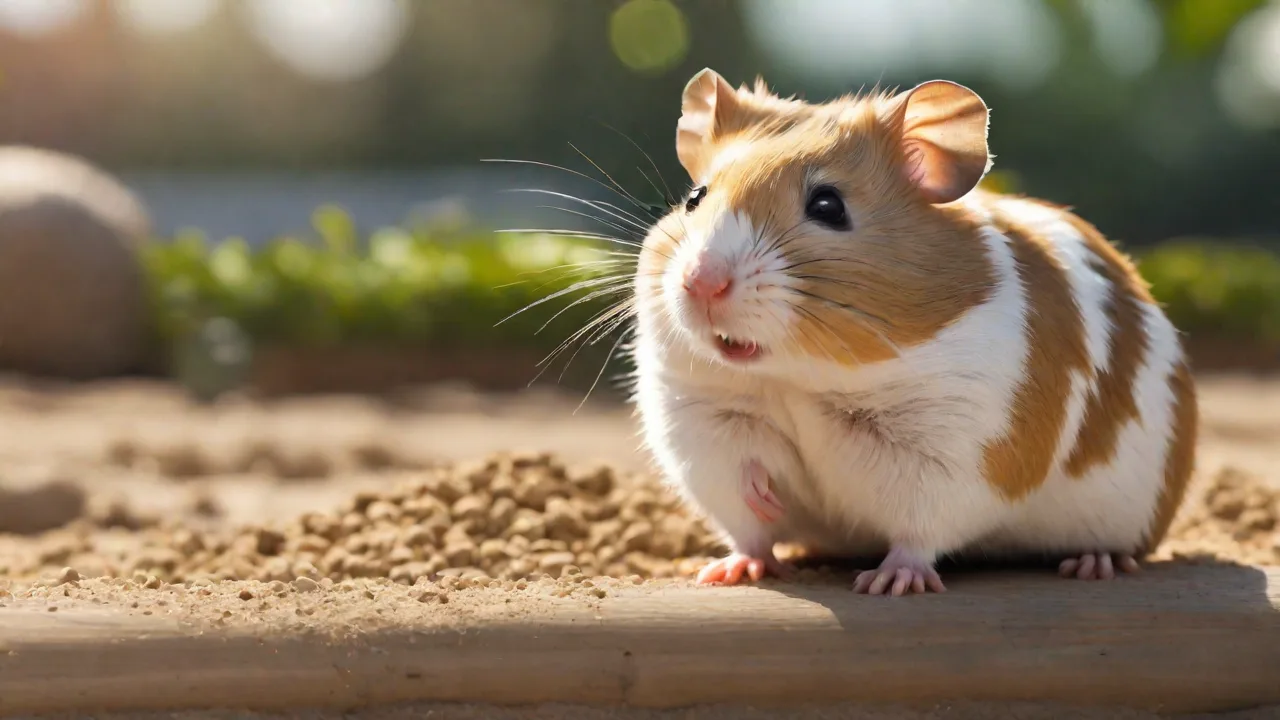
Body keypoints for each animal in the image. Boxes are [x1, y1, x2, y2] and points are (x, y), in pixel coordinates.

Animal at [630, 68, 1199, 596]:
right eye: (695, 198)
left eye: (828, 206)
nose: (700, 283)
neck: (799, 380)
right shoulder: (702, 426)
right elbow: (747, 511)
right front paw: (732, 564)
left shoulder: (956, 452)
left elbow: (916, 531)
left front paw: (888, 582)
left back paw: (1092, 564)